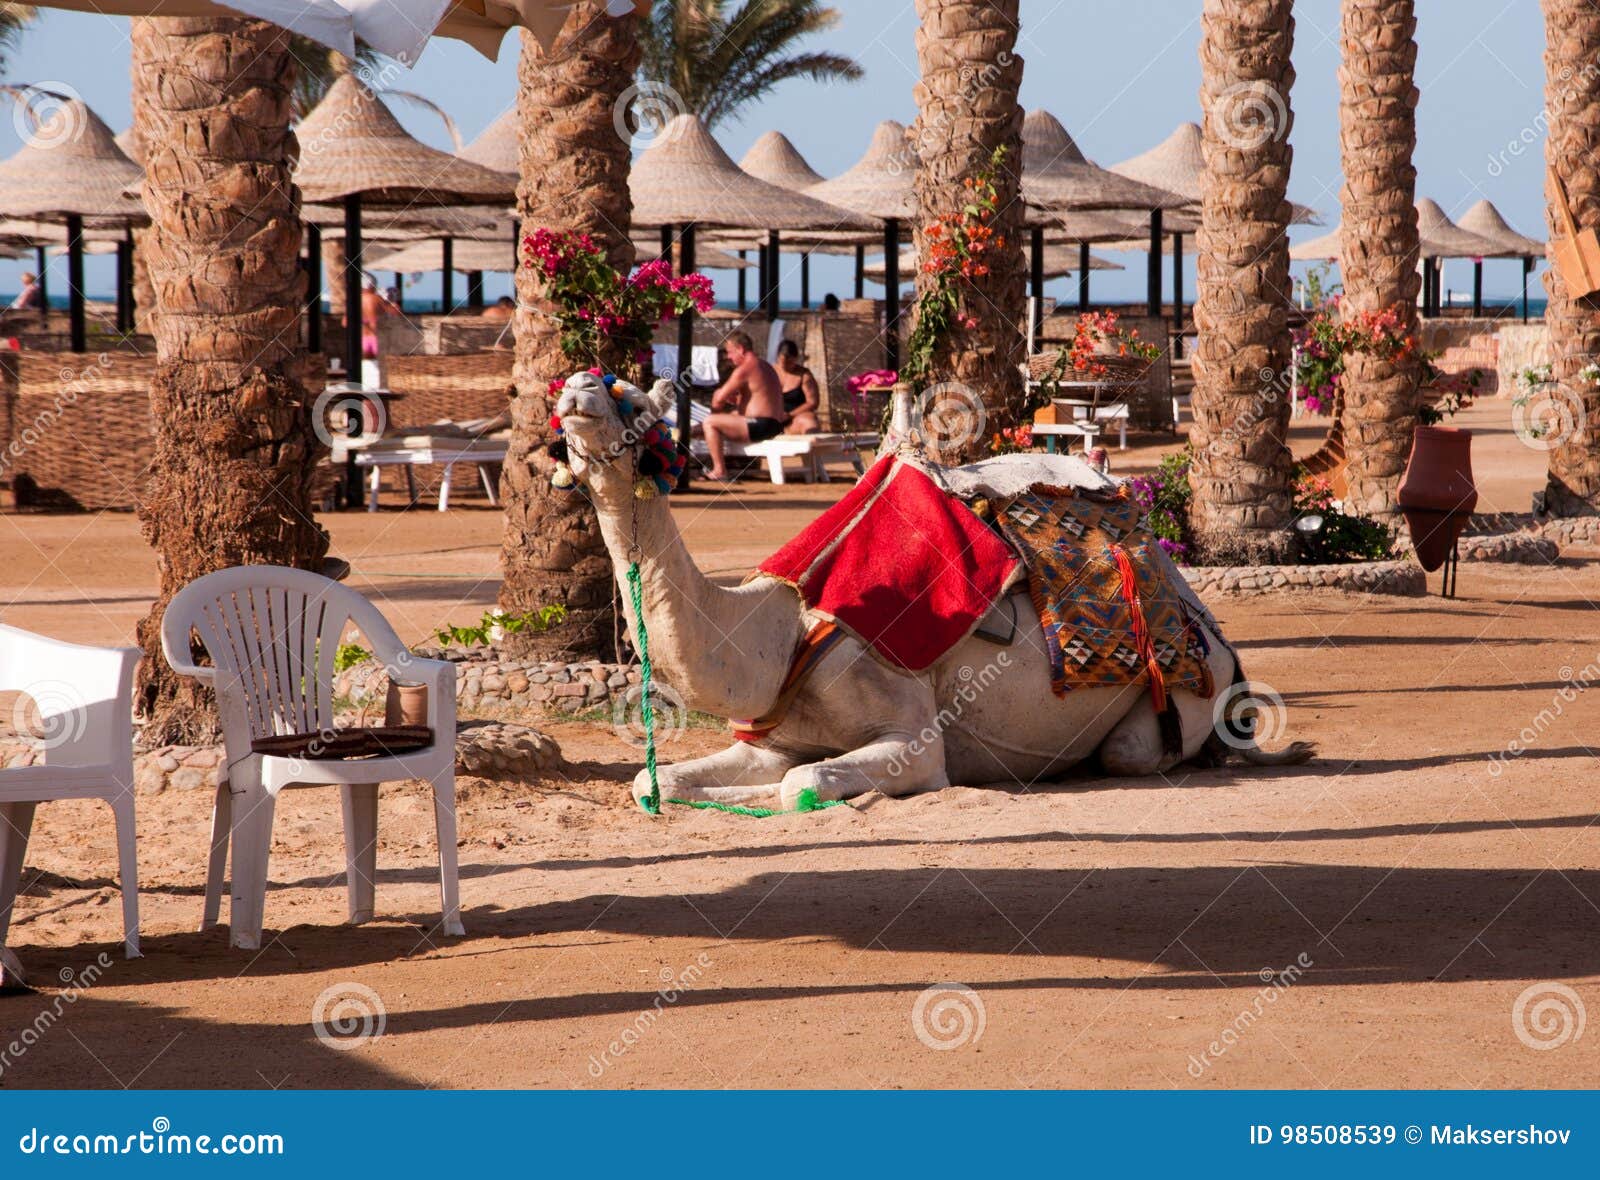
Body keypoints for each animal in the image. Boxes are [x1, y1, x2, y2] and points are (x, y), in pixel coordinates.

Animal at [553, 373, 1311, 811]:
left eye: (629, 401)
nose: (574, 386)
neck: (783, 632)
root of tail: (1216, 640)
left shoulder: (913, 733)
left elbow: (803, 785)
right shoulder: (772, 733)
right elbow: (653, 782)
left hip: (1179, 699)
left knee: (1131, 752)